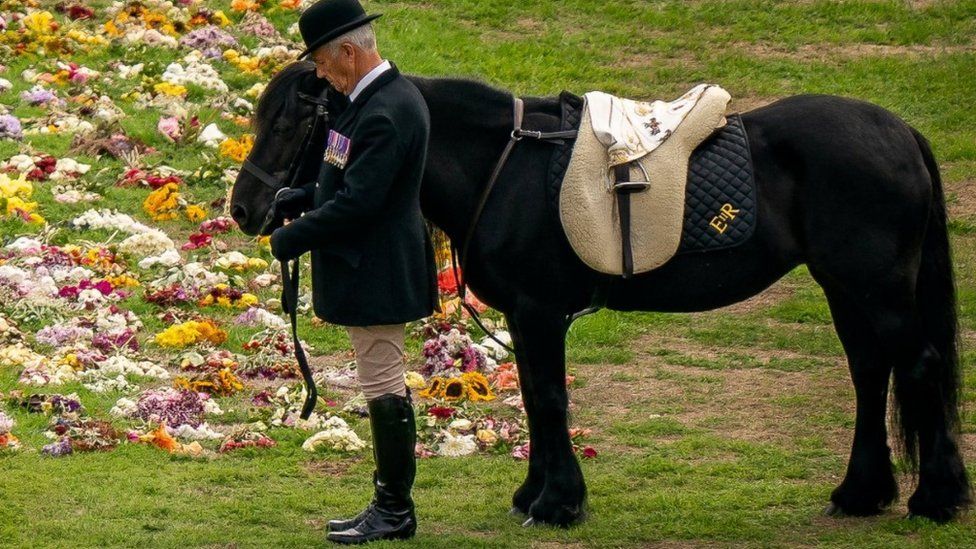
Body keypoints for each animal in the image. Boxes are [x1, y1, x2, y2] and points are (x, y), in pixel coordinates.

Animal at [230, 62, 971, 526]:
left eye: (292, 124)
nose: (246, 210)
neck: (505, 164)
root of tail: (901, 132)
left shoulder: (538, 310)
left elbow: (550, 399)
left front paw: (557, 503)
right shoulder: (525, 315)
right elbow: (536, 398)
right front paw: (535, 494)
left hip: (875, 288)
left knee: (918, 365)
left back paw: (935, 497)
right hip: (846, 287)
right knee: (872, 372)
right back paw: (862, 492)